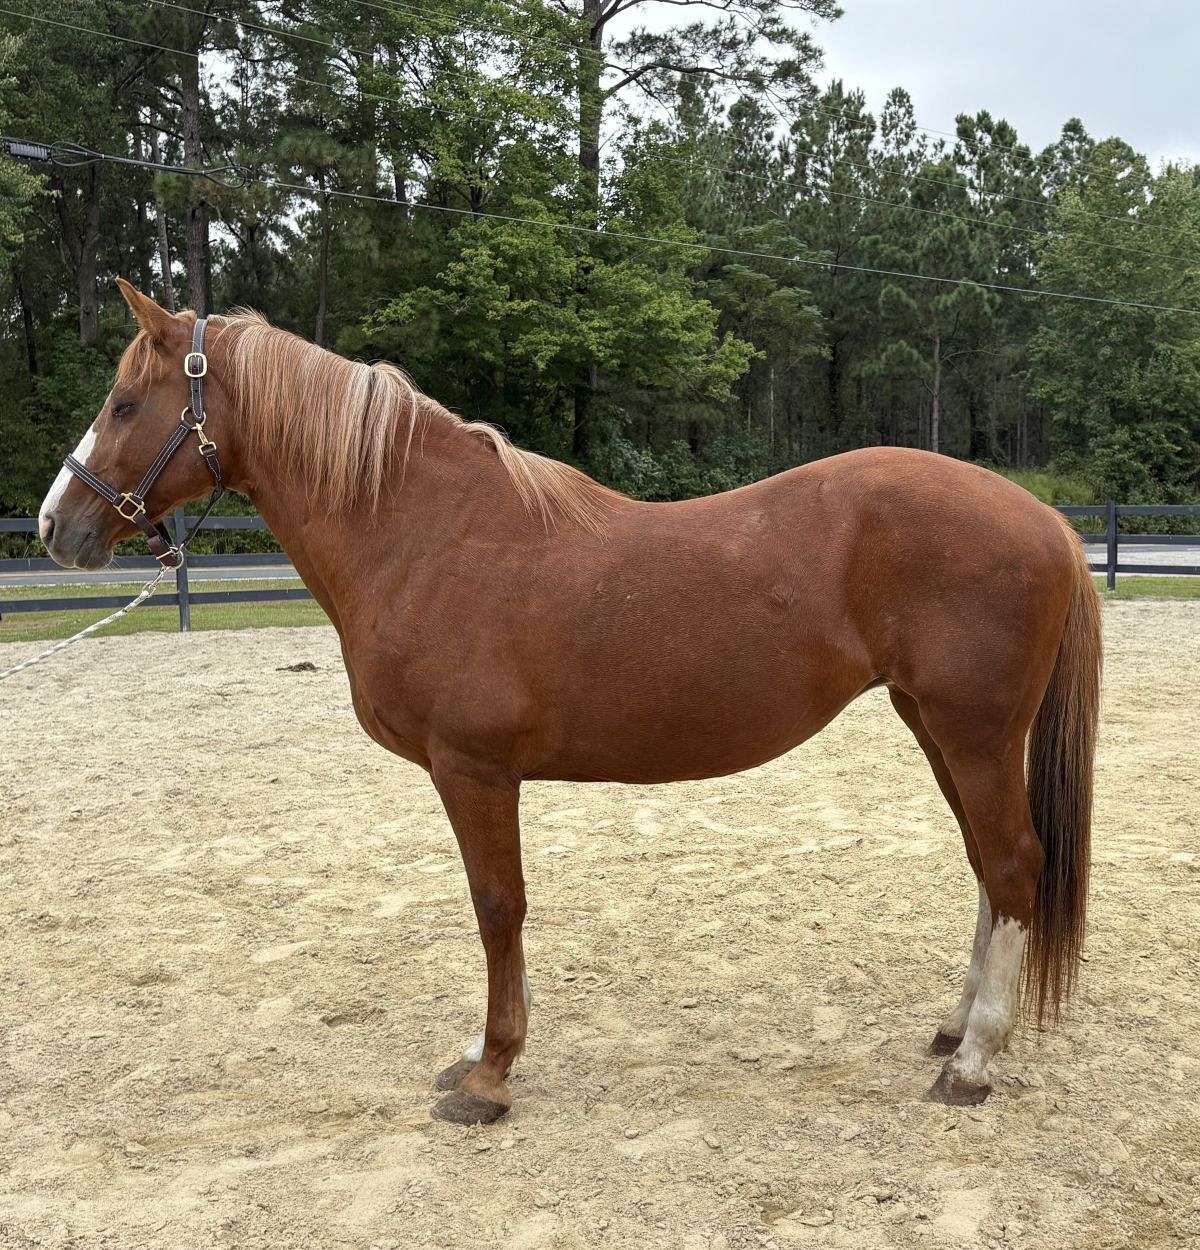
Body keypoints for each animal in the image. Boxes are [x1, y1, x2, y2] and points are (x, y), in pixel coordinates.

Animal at [37, 280, 1101, 1125]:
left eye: (125, 403)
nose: (56, 524)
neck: (426, 533)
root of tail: (1045, 519)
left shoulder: (473, 770)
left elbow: (497, 907)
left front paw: (491, 1075)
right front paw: (480, 1060)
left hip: (973, 734)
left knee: (1013, 867)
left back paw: (975, 1061)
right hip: (936, 728)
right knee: (987, 870)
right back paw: (956, 1028)